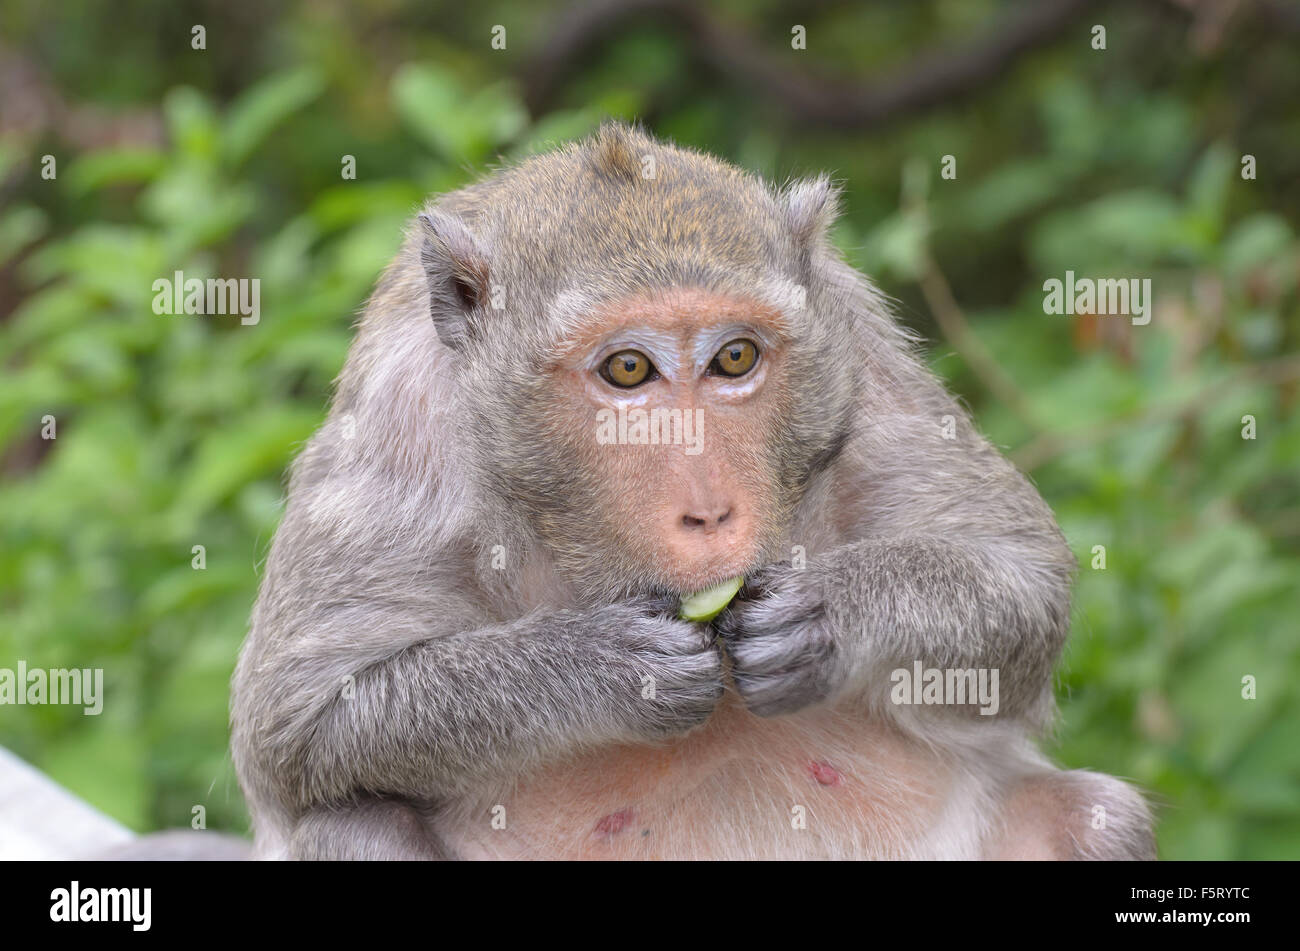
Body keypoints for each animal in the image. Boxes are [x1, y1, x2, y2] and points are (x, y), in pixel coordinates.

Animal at [230, 122, 1156, 860]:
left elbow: (1024, 581)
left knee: (1098, 818)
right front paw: (604, 669)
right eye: (627, 370)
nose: (711, 511)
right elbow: (296, 726)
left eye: (735, 357)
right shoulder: (396, 423)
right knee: (356, 821)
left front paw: (826, 616)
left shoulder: (854, 345)